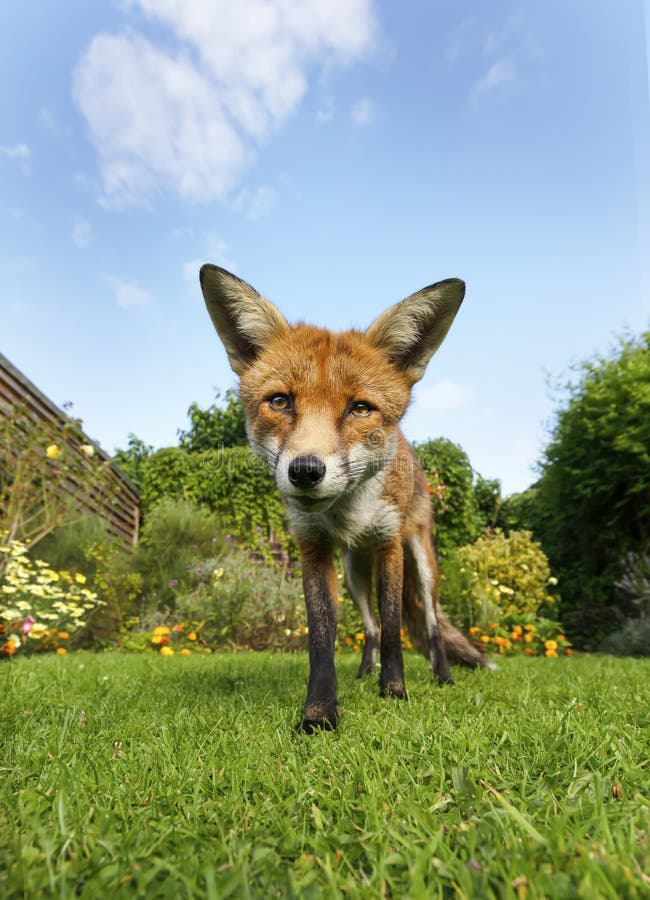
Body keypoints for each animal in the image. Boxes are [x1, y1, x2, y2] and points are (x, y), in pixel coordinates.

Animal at [200, 264, 492, 732]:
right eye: (280, 401)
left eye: (359, 408)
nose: (305, 471)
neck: (347, 513)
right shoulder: (313, 548)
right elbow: (323, 638)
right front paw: (319, 712)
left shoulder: (390, 545)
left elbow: (394, 630)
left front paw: (394, 692)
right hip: (355, 574)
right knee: (369, 627)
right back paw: (363, 672)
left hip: (421, 562)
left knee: (428, 625)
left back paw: (441, 677)